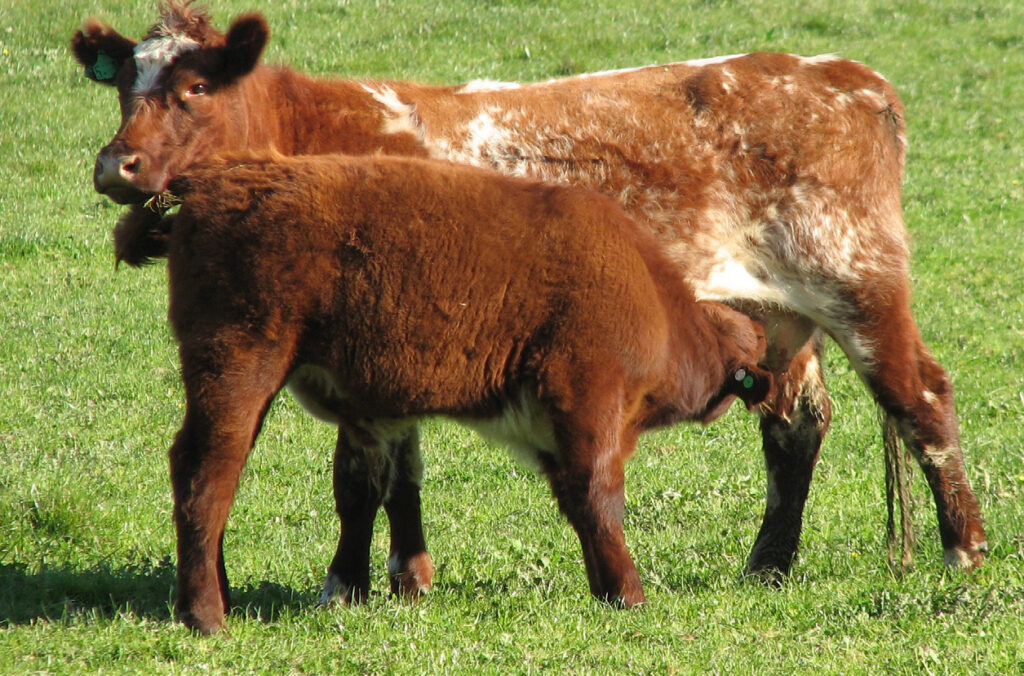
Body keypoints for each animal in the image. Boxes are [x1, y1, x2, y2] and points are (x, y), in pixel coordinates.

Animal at [148, 151, 773, 633]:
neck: (659, 309)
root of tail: (221, 176)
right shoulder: (587, 399)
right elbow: (596, 496)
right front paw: (626, 592)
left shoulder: (376, 413)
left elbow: (367, 492)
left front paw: (354, 589)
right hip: (238, 366)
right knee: (208, 473)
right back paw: (205, 613)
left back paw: (216, 595)